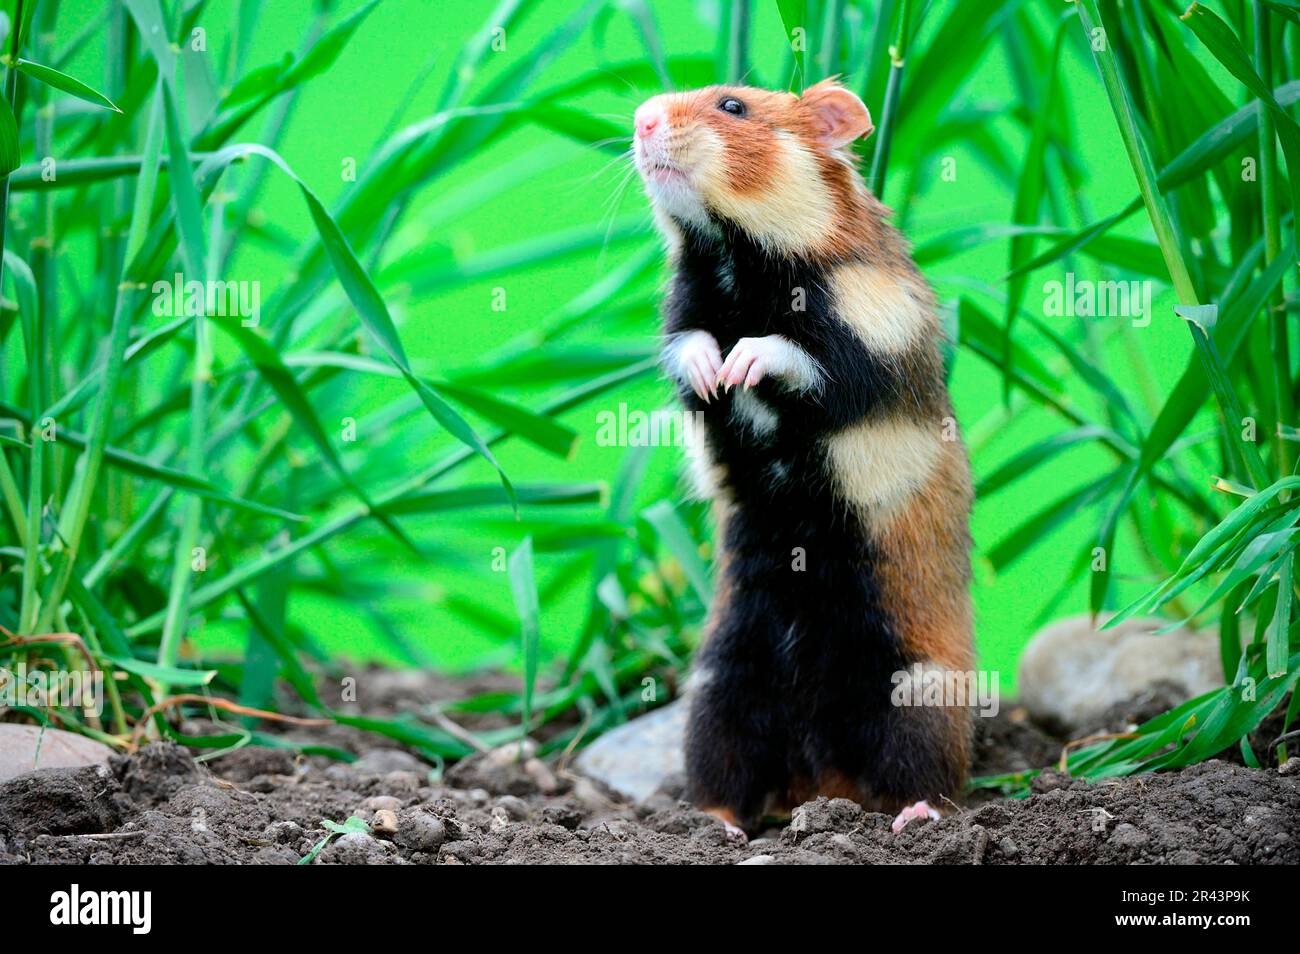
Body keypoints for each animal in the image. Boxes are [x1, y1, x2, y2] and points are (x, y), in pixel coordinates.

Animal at [631, 80, 975, 835]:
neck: (734, 255)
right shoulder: (683, 312)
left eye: (733, 106)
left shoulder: (870, 335)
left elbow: (795, 352)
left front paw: (741, 363)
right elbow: (688, 347)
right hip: (720, 687)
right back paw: (717, 824)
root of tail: (821, 782)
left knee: (926, 778)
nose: (640, 117)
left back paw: (911, 819)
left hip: (918, 692)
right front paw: (714, 374)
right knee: (725, 773)